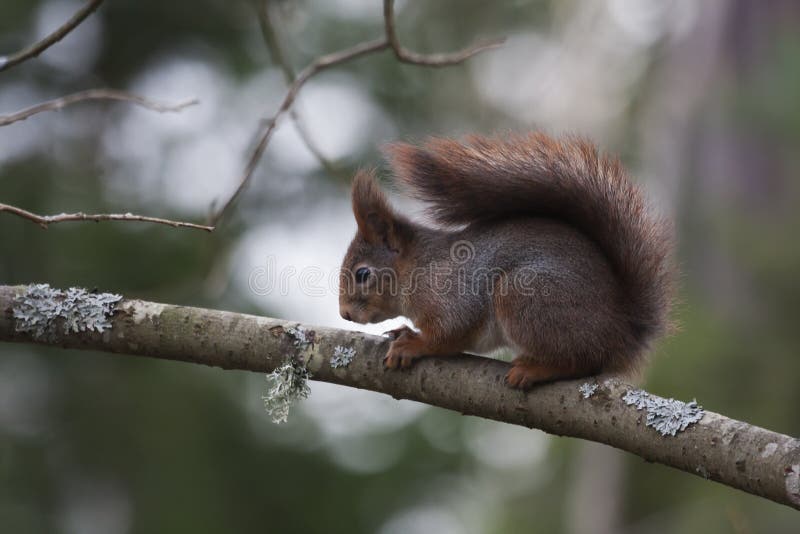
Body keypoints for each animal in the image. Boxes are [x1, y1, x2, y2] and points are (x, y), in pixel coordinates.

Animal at [338, 132, 675, 389]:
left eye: (363, 273)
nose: (344, 314)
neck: (418, 268)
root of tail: (624, 329)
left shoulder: (453, 295)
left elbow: (447, 334)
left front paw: (412, 343)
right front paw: (401, 332)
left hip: (525, 297)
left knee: (583, 361)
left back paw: (535, 369)